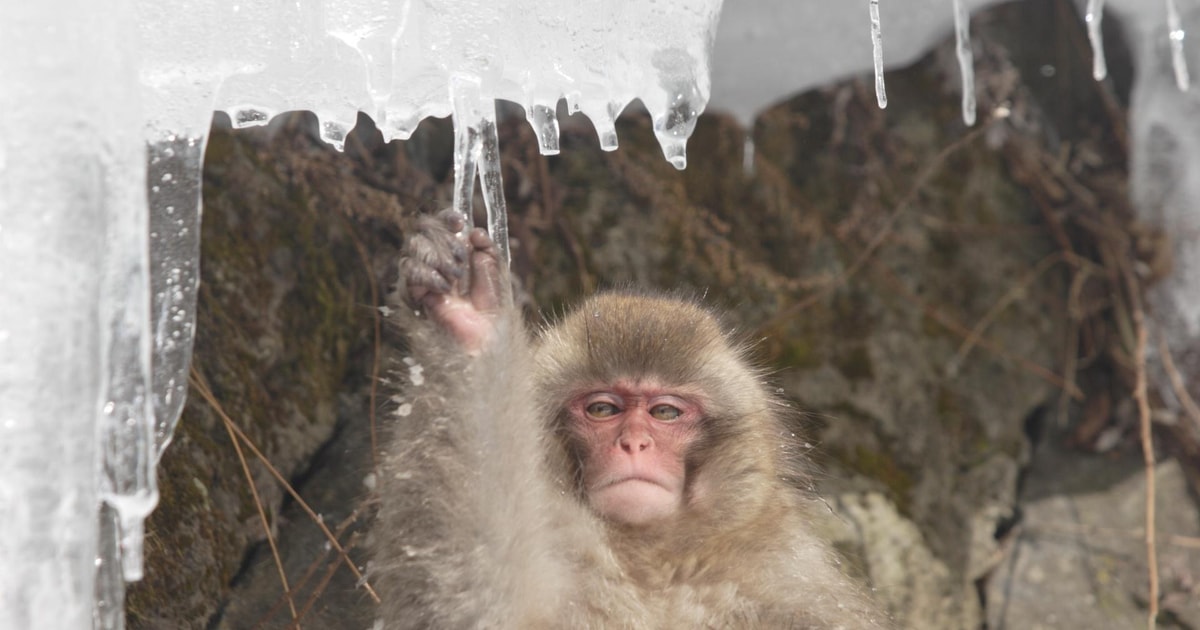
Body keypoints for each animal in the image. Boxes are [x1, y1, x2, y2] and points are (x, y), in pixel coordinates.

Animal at [370, 208, 890, 629]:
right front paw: (469, 321)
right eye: (603, 409)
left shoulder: (798, 594)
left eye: (665, 412)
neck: (655, 563)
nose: (634, 443)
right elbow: (474, 612)